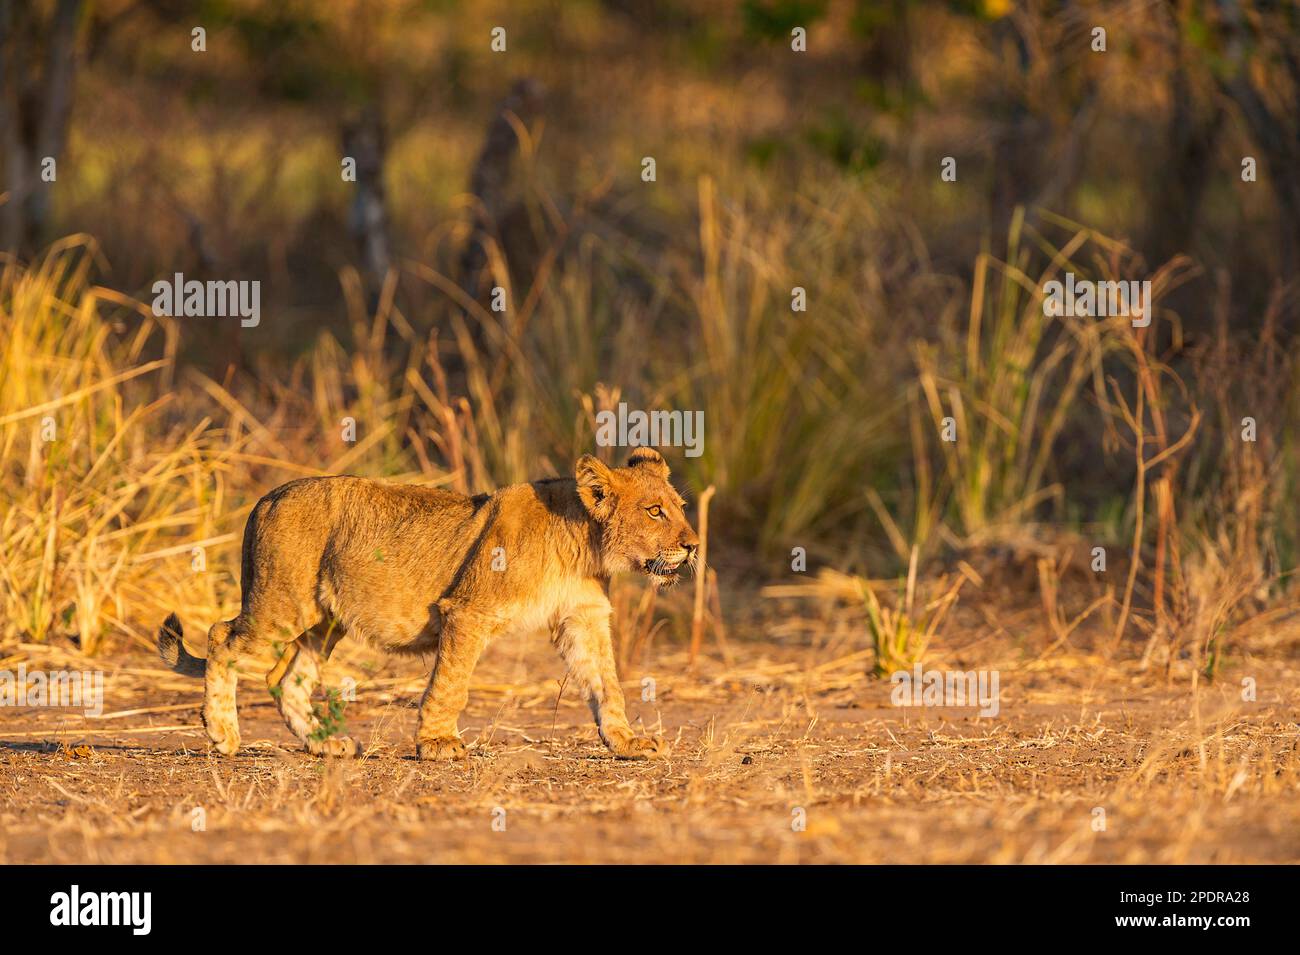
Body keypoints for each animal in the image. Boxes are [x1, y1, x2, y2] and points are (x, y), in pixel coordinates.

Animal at [157, 447, 698, 761]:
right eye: (655, 511)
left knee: (284, 677)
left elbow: (607, 684)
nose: (693, 546)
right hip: (281, 602)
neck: (582, 543)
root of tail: (267, 497)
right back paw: (223, 734)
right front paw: (438, 744)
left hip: (323, 620)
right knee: (221, 637)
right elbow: (451, 683)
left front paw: (627, 742)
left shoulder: (582, 618)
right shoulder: (469, 610)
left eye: (680, 508)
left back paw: (327, 746)